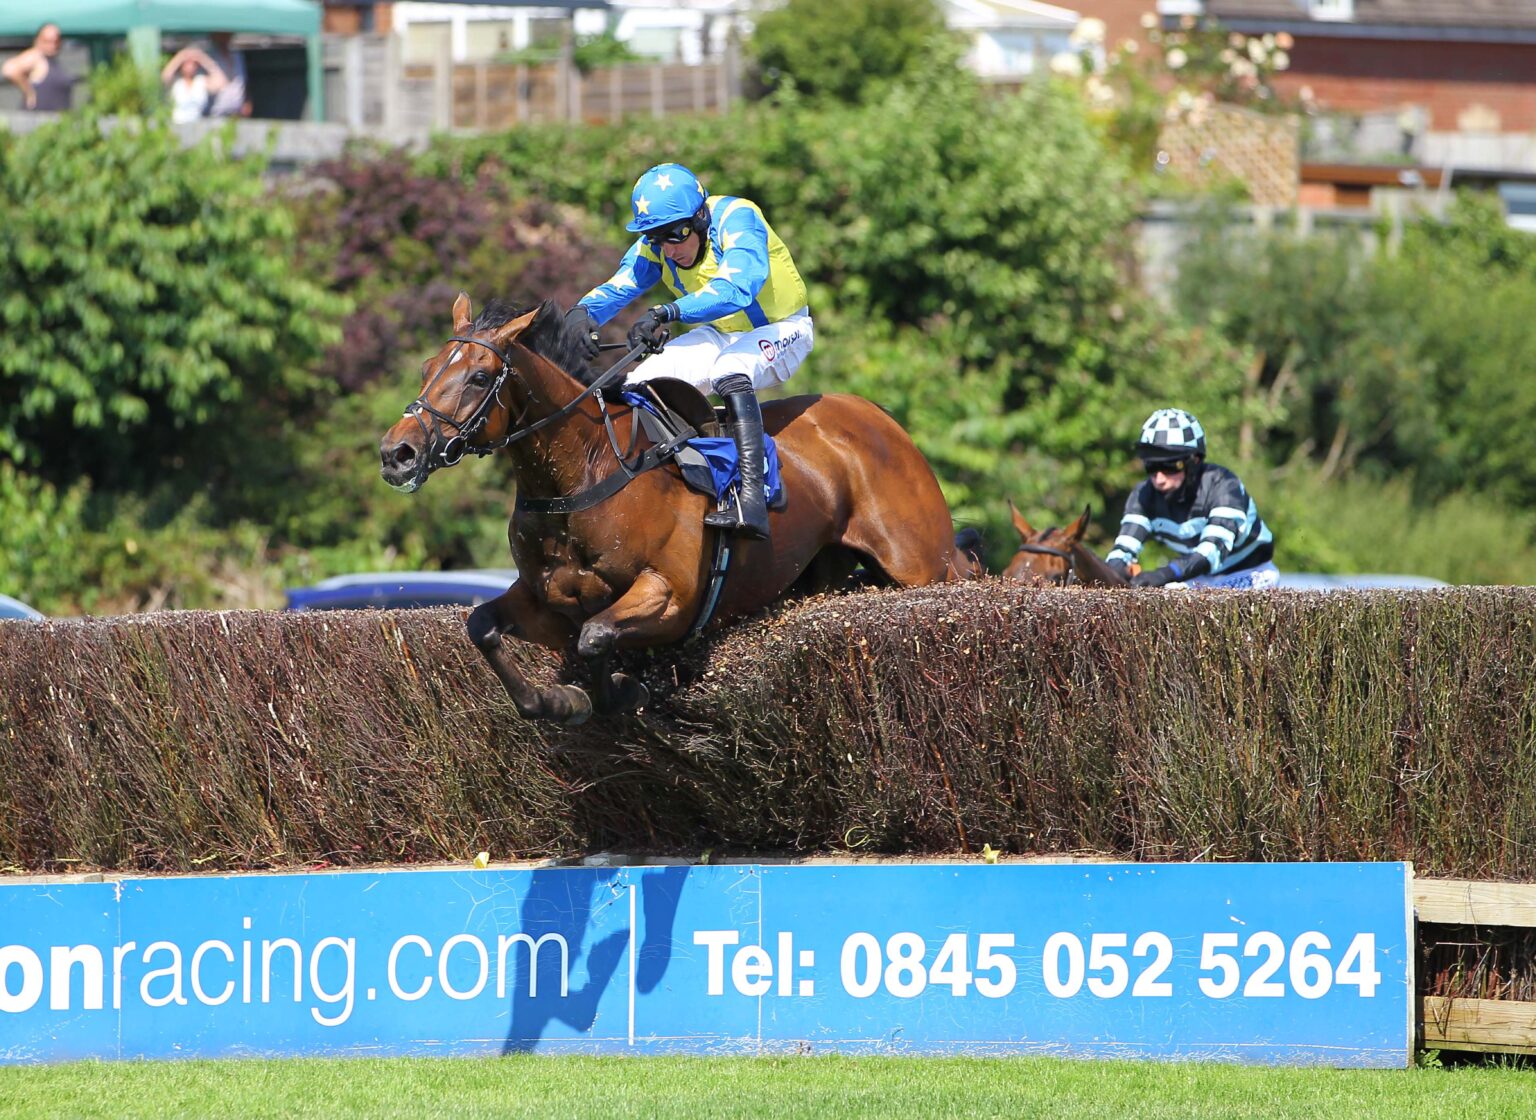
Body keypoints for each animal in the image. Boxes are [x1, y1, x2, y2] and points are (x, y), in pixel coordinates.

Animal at [379, 294, 977, 725]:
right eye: (429, 367)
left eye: (479, 377)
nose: (397, 453)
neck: (584, 471)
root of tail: (878, 417)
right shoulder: (546, 601)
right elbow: (484, 626)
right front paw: (559, 700)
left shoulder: (671, 596)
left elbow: (595, 636)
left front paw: (619, 692)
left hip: (918, 562)